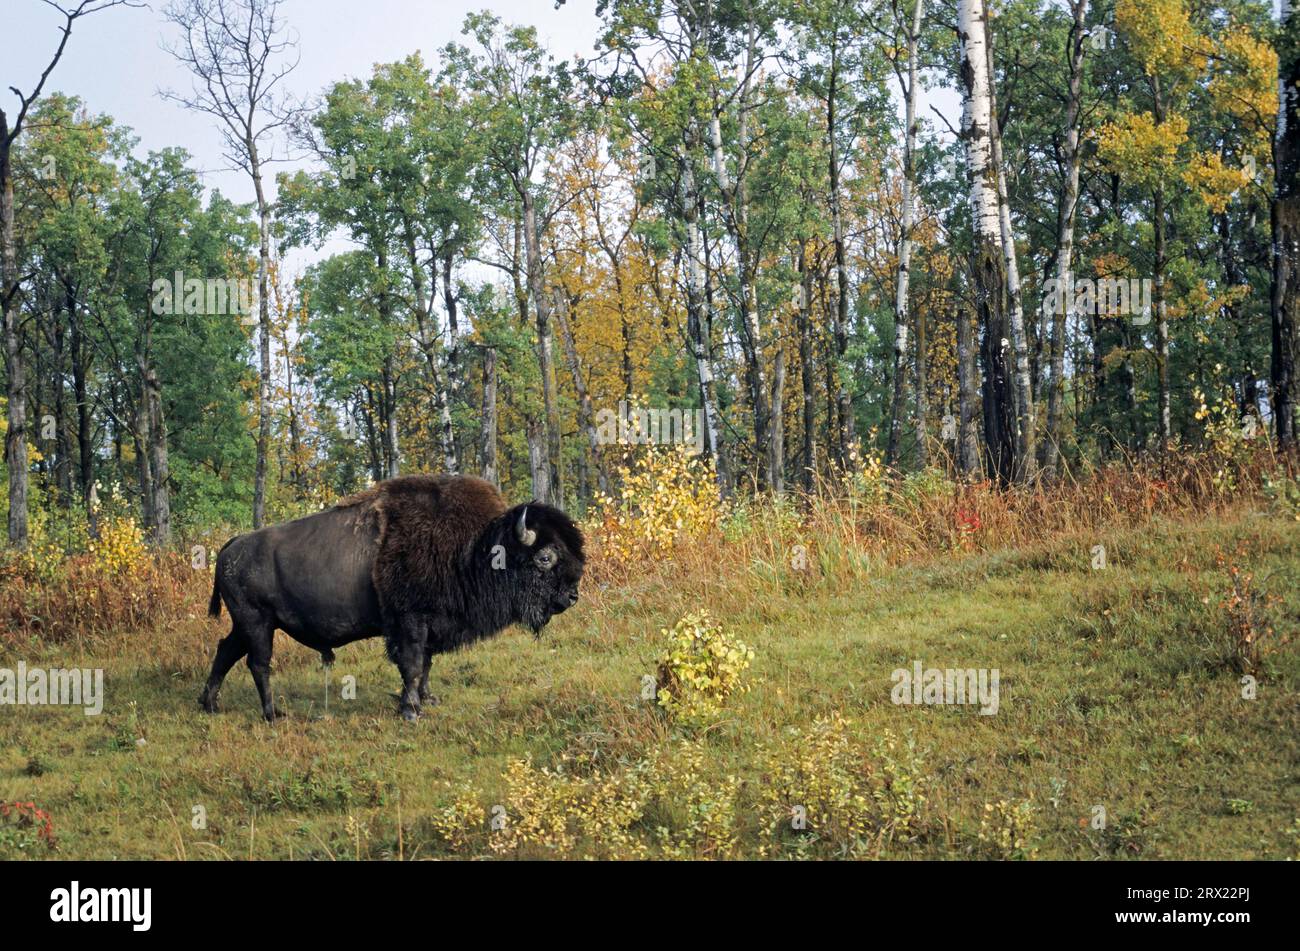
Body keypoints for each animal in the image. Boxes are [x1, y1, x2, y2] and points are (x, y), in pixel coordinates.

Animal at [201, 475, 585, 721]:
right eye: (546, 557)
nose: (571, 596)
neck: (476, 548)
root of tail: (232, 546)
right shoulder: (410, 621)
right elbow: (412, 665)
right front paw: (411, 710)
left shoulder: (429, 625)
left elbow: (425, 665)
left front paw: (428, 699)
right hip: (258, 622)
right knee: (258, 663)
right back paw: (272, 714)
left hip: (250, 624)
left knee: (226, 650)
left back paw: (209, 705)